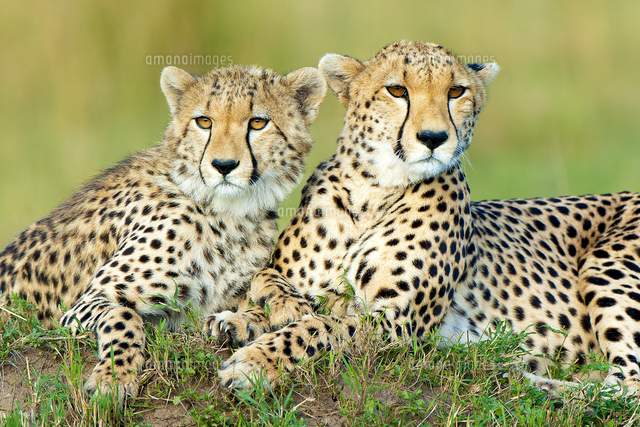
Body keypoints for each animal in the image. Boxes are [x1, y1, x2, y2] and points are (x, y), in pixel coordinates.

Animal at [0, 63, 327, 402]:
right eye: (204, 121)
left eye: (258, 122)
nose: (223, 165)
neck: (228, 213)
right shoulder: (84, 304)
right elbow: (124, 317)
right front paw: (113, 378)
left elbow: (263, 278)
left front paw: (284, 305)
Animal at [207, 41, 640, 396]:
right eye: (397, 90)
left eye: (456, 91)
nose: (434, 138)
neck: (372, 191)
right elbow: (270, 284)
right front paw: (241, 319)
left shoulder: (398, 321)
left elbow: (322, 328)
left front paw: (255, 361)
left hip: (608, 263)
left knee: (624, 386)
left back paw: (522, 376)